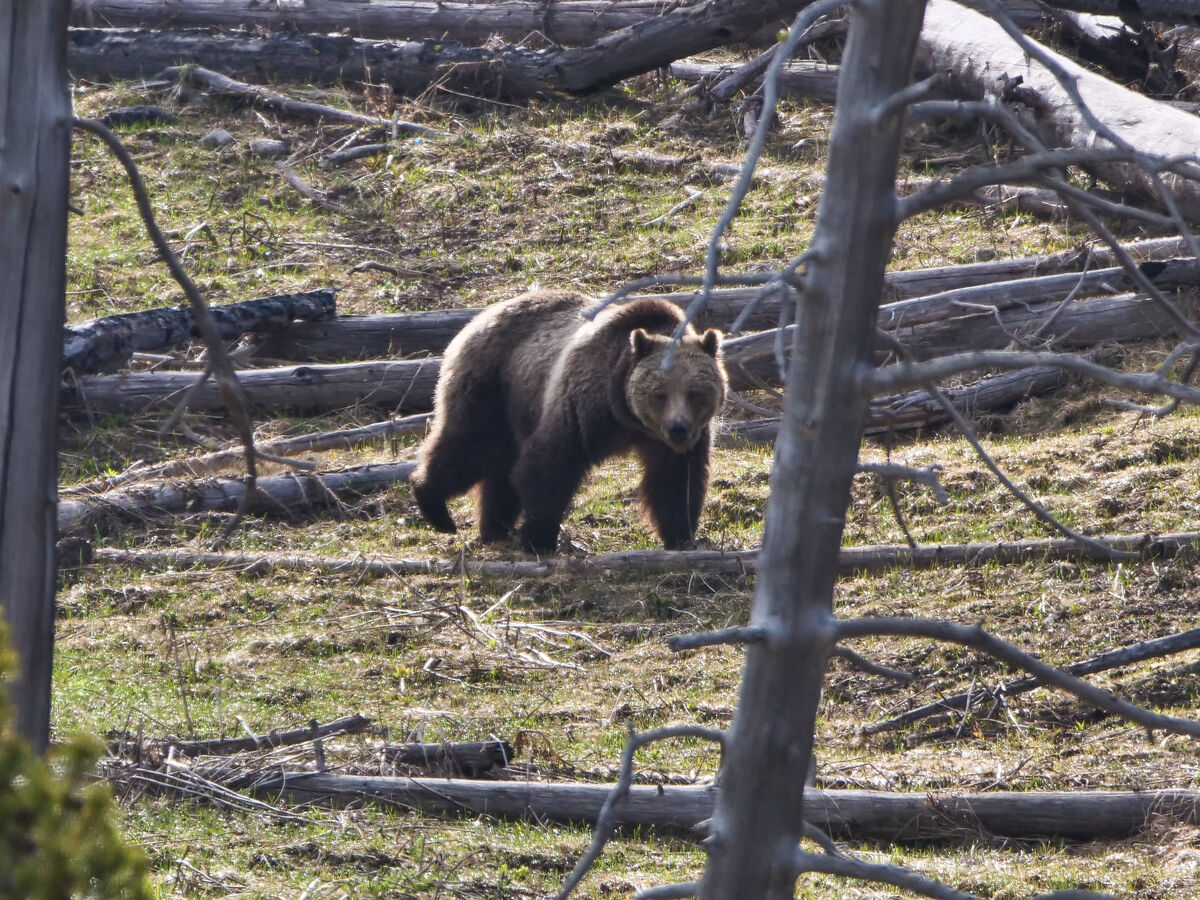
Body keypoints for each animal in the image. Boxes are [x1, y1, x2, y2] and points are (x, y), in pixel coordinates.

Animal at [409, 290, 728, 553]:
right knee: (469, 445)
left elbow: (676, 479)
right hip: (492, 386)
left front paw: (680, 536)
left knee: (498, 466)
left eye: (695, 393)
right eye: (659, 394)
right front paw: (539, 538)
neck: (628, 418)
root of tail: (484, 314)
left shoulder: (674, 440)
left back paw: (494, 528)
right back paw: (435, 506)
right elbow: (551, 464)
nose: (678, 429)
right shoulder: (583, 404)